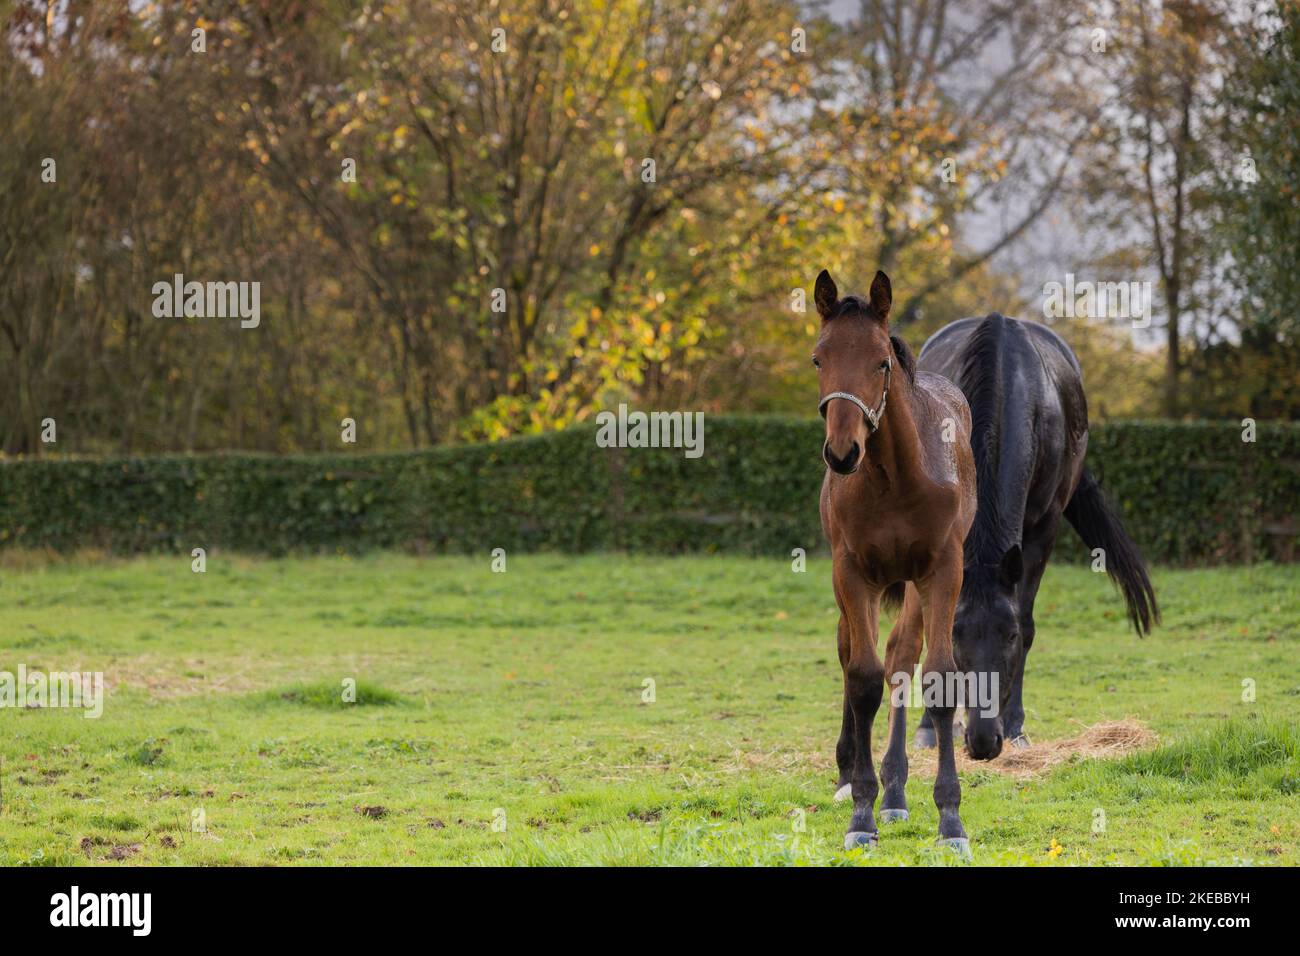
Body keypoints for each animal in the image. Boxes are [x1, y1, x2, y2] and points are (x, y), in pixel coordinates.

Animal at [814, 268, 978, 854]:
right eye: (818, 359)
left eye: (881, 361)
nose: (842, 453)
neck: (894, 478)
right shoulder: (851, 572)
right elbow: (862, 678)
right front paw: (861, 813)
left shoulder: (942, 571)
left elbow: (938, 676)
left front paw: (950, 820)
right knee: (851, 654)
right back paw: (853, 778)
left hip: (912, 584)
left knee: (902, 657)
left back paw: (897, 792)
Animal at [913, 313, 1159, 760]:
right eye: (958, 634)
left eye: (1008, 636)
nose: (983, 741)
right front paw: (929, 727)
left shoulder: (1043, 529)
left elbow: (1028, 622)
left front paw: (1015, 726)